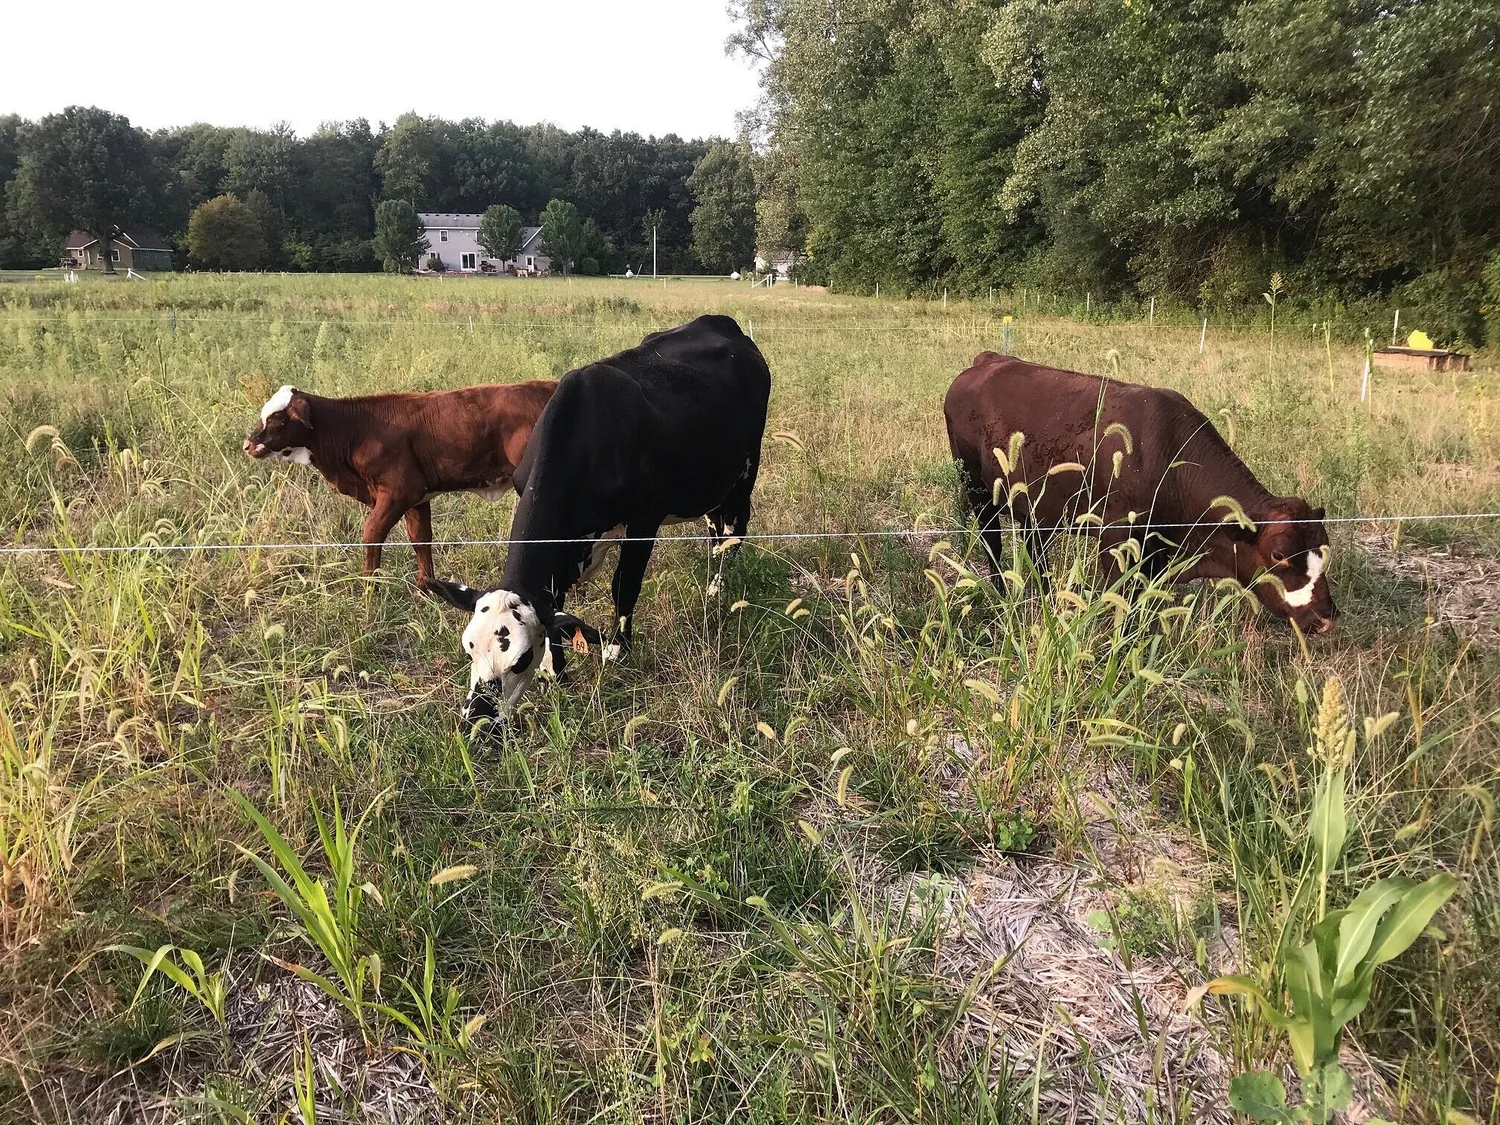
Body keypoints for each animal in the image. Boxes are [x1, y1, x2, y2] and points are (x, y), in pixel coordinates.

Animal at [244, 380, 558, 588]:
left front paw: (368, 590)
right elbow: (420, 538)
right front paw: (425, 589)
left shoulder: (398, 492)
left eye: (278, 419)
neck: (357, 430)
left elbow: (371, 534)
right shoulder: (418, 498)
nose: (248, 445)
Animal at [426, 314, 772, 721]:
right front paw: (555, 671)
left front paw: (617, 649)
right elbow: (557, 606)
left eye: (520, 659)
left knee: (736, 529)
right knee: (716, 529)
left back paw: (720, 585)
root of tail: (722, 323)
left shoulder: (643, 522)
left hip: (745, 472)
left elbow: (624, 586)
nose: (478, 720)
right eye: (469, 647)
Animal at [944, 354, 1336, 634]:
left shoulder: (1156, 549)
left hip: (1033, 502)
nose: (1325, 618)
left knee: (1034, 546)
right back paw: (1001, 596)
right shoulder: (1116, 539)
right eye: (1279, 554)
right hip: (977, 487)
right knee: (992, 542)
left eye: (1324, 551)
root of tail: (988, 362)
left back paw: (1047, 596)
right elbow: (1120, 601)